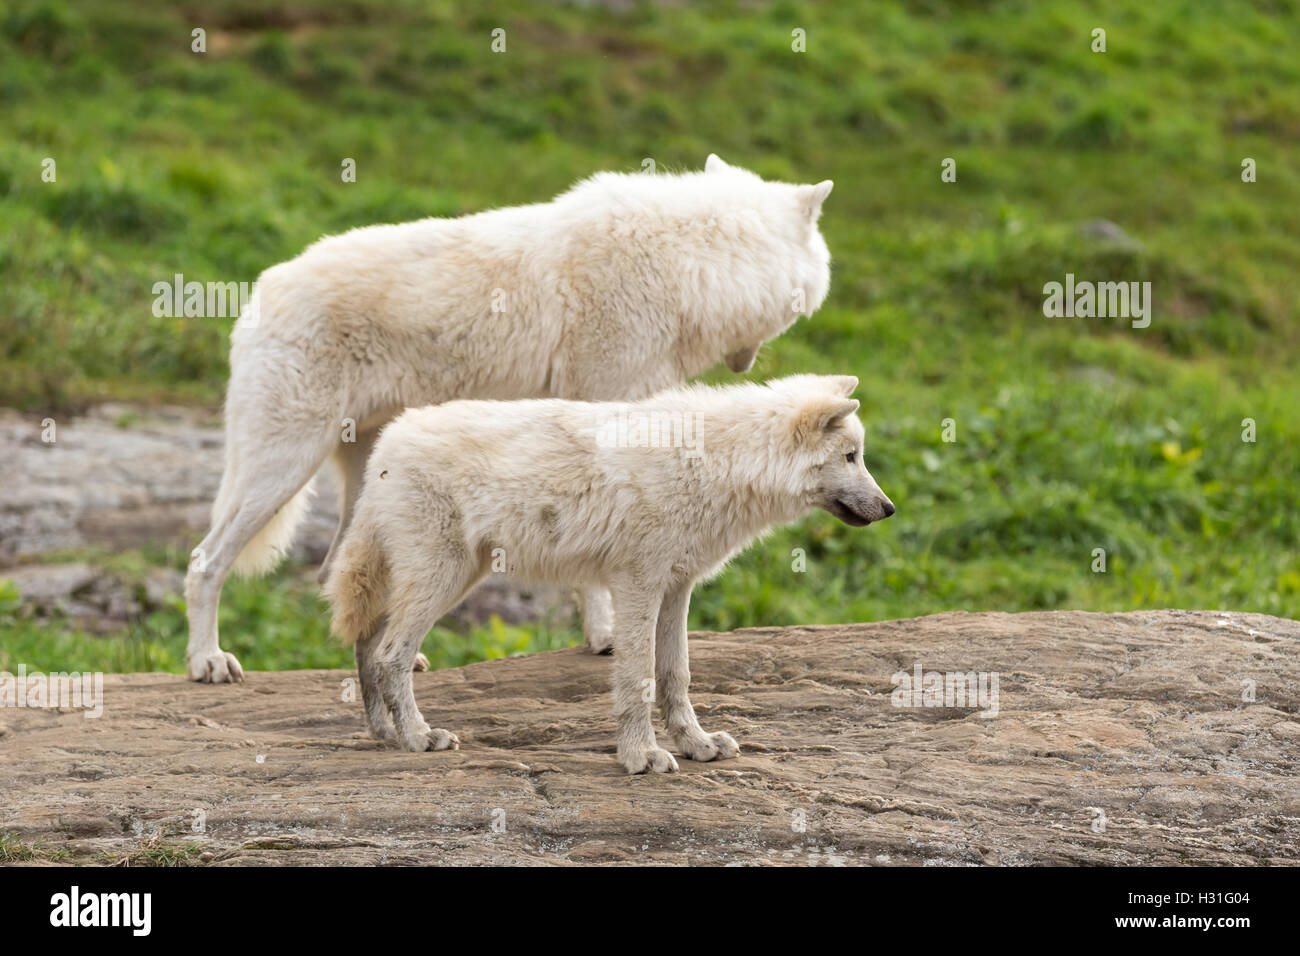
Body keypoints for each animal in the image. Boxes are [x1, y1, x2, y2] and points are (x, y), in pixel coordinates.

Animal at [185, 155, 835, 682]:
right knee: (204, 562)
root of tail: (261, 288)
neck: (693, 262)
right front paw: (605, 637)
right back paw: (207, 661)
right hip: (281, 468)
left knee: (332, 576)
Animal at [324, 374, 894, 774]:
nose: (889, 509)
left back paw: (384, 734)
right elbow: (637, 675)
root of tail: (387, 441)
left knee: (368, 646)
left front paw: (697, 744)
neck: (716, 462)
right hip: (441, 579)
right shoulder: (637, 585)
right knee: (391, 656)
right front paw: (641, 757)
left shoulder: (676, 588)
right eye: (851, 456)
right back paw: (418, 738)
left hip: (447, 578)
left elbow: (675, 675)